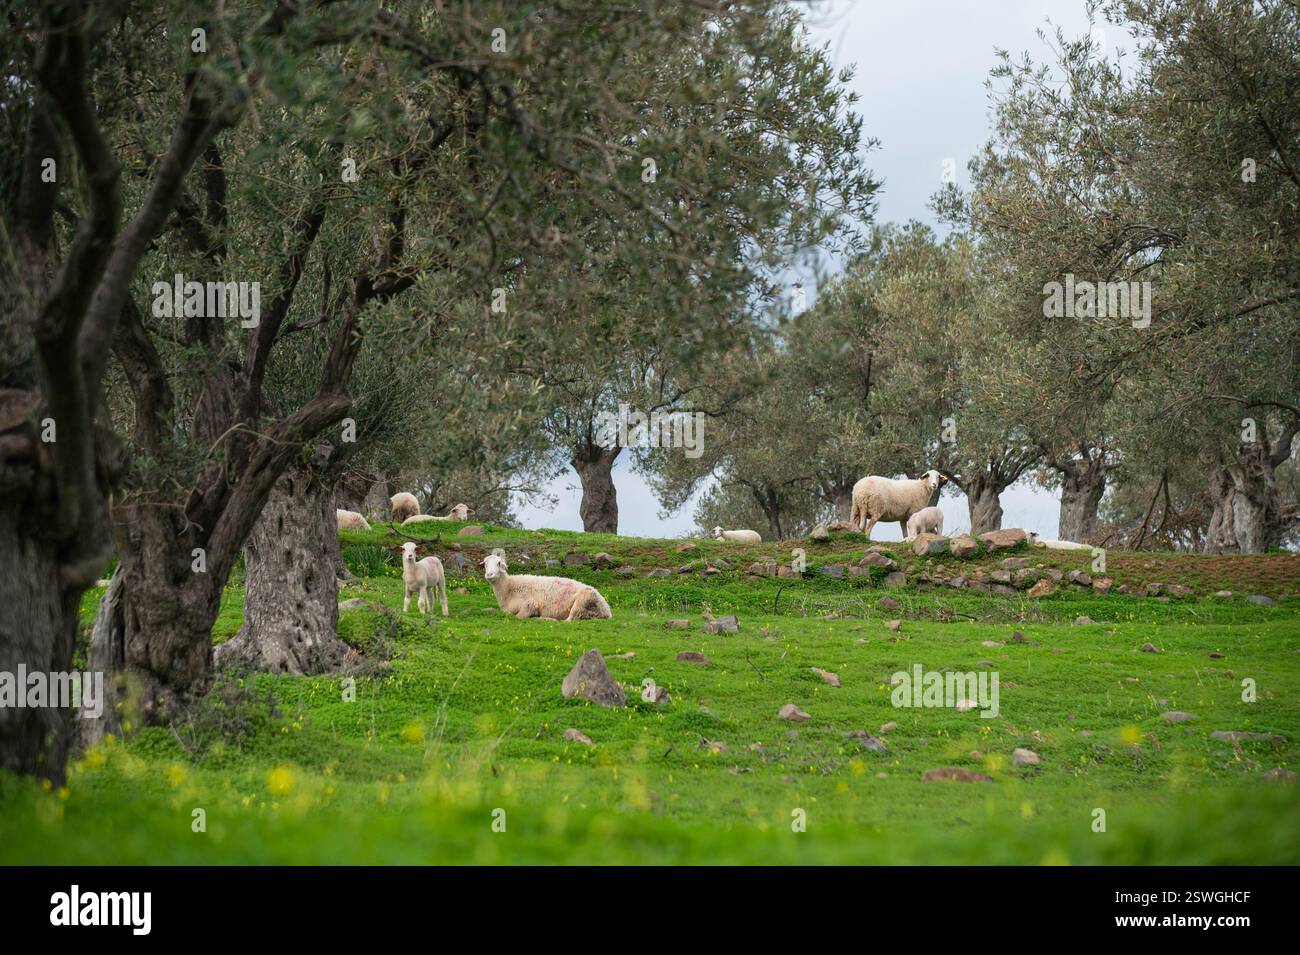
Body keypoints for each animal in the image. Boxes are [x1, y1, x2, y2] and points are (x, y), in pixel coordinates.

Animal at [481, 553, 611, 621]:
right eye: (485, 564)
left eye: (498, 563)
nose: (489, 574)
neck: (509, 588)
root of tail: (607, 611)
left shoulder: (530, 605)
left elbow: (518, 616)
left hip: (583, 599)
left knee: (568, 620)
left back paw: (544, 618)